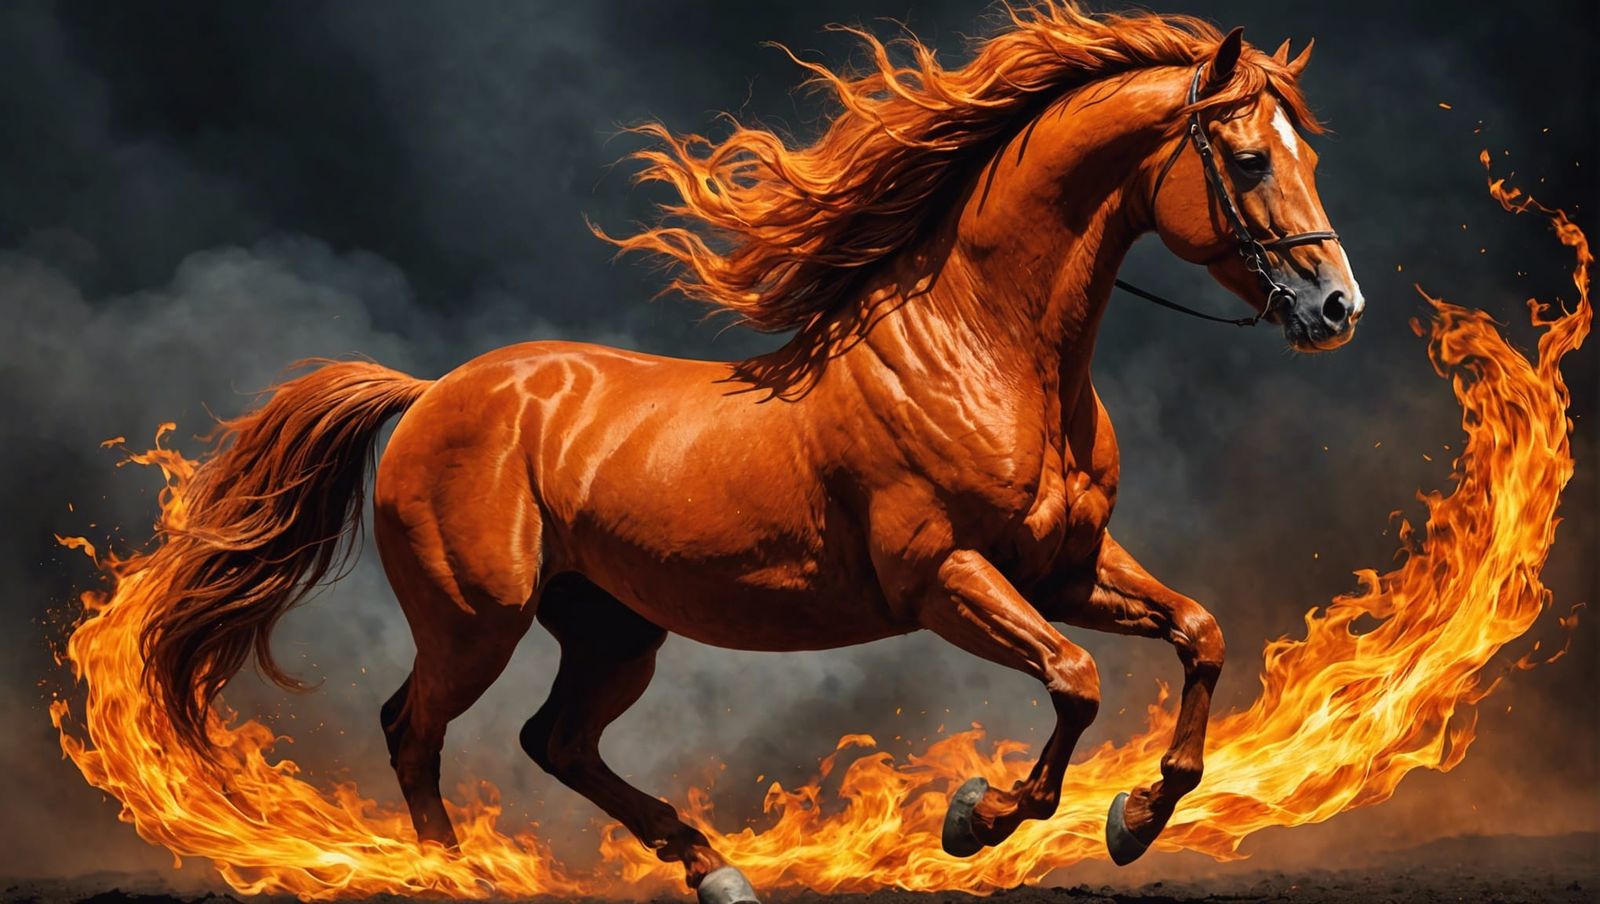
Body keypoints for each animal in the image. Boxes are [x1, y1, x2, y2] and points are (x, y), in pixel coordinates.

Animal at [139, 6, 1362, 901]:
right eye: (1248, 160)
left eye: (1305, 152)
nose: (1335, 305)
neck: (984, 349)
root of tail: (434, 390)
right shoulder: (944, 580)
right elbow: (1075, 680)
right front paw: (981, 817)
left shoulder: (1064, 570)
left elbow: (1198, 634)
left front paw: (1137, 816)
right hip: (473, 617)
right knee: (415, 730)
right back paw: (460, 876)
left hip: (612, 628)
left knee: (554, 740)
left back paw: (715, 870)